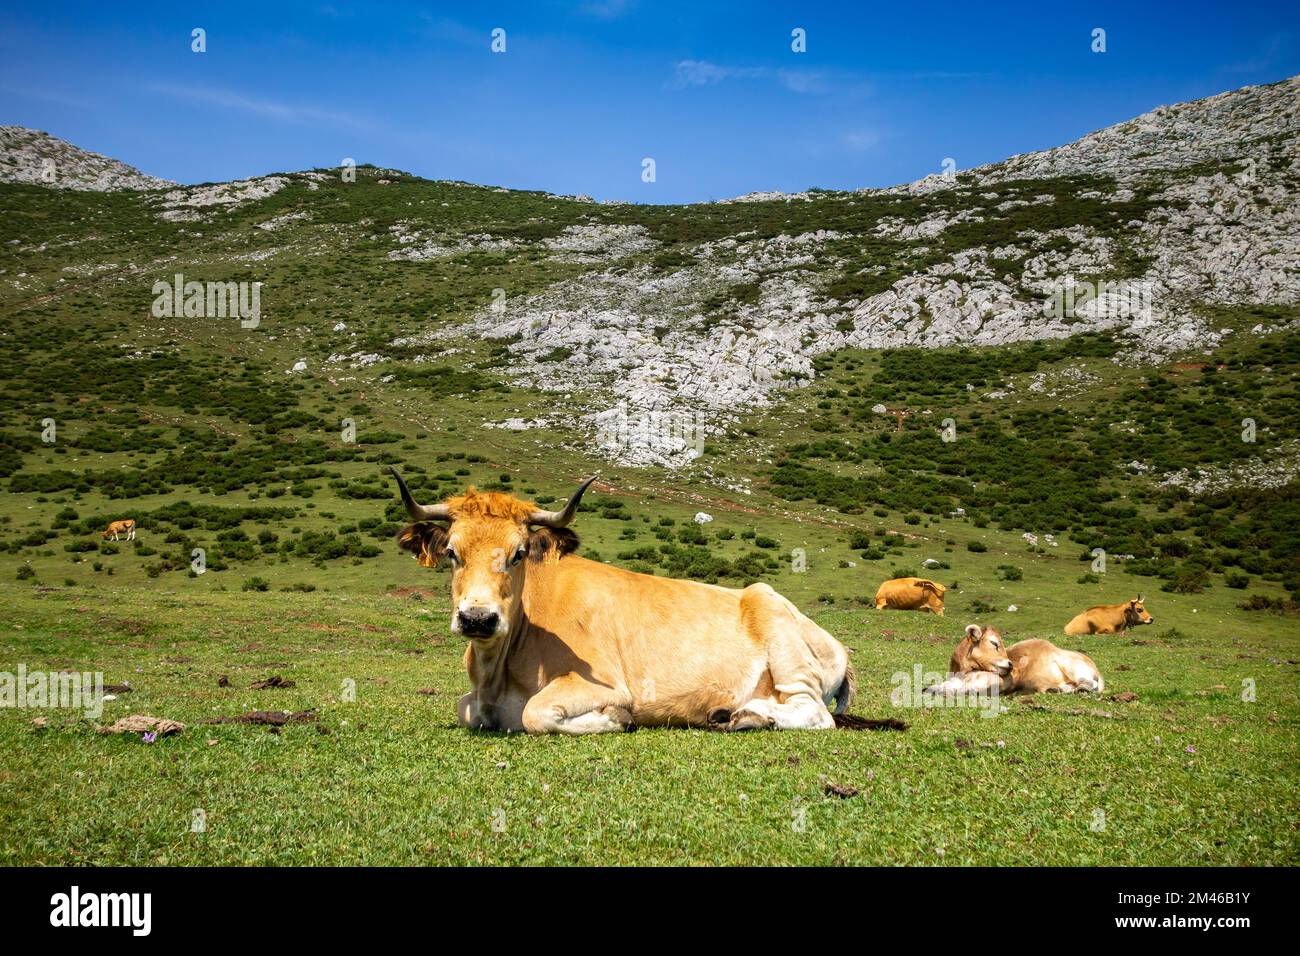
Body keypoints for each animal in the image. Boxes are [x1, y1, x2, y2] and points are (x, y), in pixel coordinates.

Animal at [390, 469, 854, 734]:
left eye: (518, 553)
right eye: (452, 552)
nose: (477, 618)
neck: (497, 672)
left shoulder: (606, 684)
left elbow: (536, 713)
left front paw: (615, 719)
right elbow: (464, 708)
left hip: (780, 635)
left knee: (816, 713)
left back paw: (748, 716)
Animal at [923, 624, 1104, 696]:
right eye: (994, 643)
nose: (1010, 664)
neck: (962, 673)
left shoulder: (996, 682)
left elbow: (967, 690)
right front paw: (932, 688)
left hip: (1074, 667)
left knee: (1089, 684)